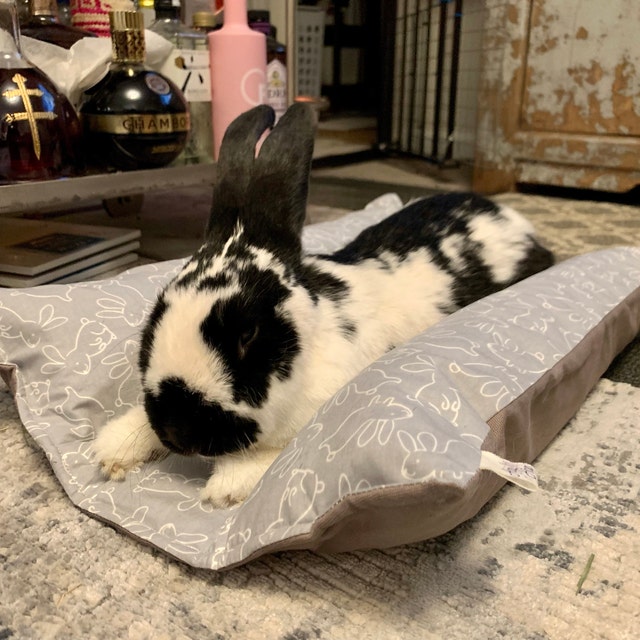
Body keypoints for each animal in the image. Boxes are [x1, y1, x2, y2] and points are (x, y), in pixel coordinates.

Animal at [93, 103, 553, 508]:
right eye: (155, 315)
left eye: (248, 334)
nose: (179, 431)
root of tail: (517, 222)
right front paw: (111, 451)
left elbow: (272, 451)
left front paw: (226, 488)